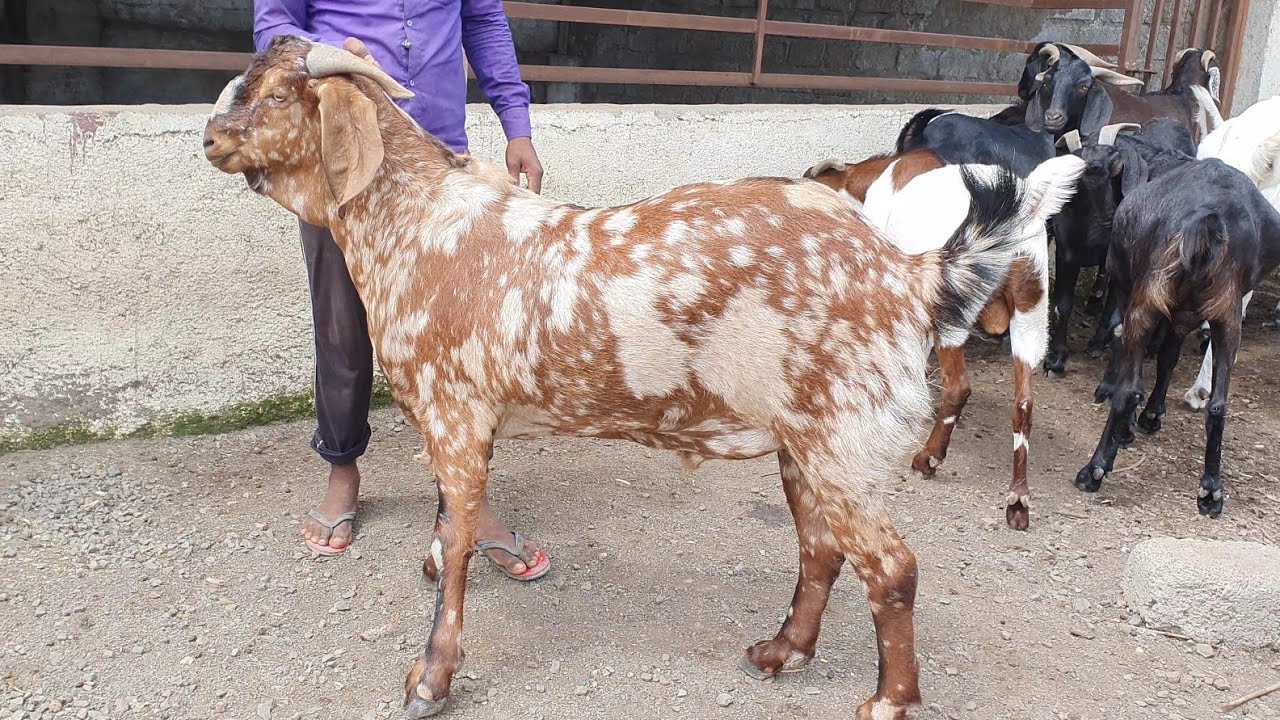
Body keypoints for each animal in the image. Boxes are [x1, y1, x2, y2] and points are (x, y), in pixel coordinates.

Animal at [805, 151, 1078, 530]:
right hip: (1031, 316)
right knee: (1023, 405)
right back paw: (1018, 501)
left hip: (955, 310)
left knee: (959, 387)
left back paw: (928, 458)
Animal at [1043, 120, 1196, 377]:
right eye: (1079, 173)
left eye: (1117, 166)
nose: (1109, 217)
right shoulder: (1066, 255)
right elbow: (1062, 306)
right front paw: (1056, 359)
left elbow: (1115, 312)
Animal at [1075, 159, 1280, 517]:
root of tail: (1208, 220)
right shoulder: (1182, 317)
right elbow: (1169, 356)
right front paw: (1153, 415)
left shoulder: (1128, 291)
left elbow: (1121, 342)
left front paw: (1123, 413)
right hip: (1227, 315)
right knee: (1218, 405)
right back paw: (1211, 491)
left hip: (1146, 300)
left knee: (1129, 390)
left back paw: (1094, 470)